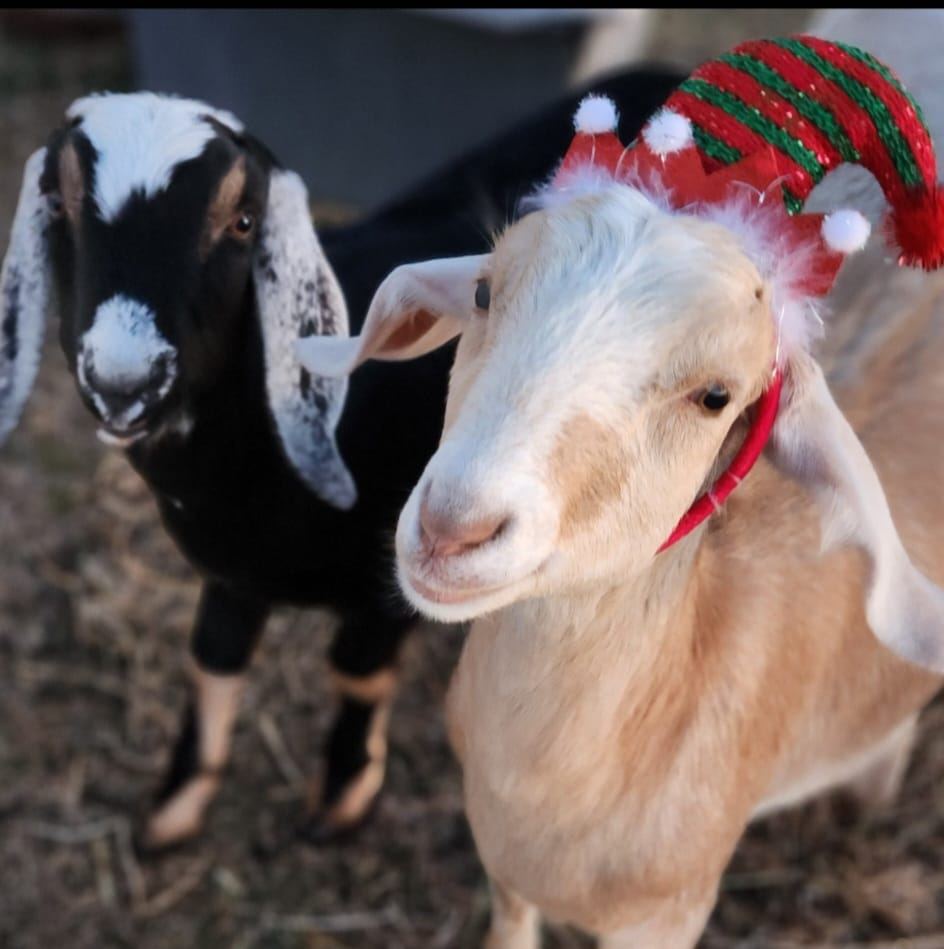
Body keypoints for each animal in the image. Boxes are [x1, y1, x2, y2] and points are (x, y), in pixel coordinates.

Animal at [0, 69, 682, 851]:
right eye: (61, 206)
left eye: (243, 222)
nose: (124, 379)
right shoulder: (232, 573)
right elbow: (213, 660)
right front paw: (174, 808)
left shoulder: (396, 576)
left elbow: (356, 673)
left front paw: (342, 798)